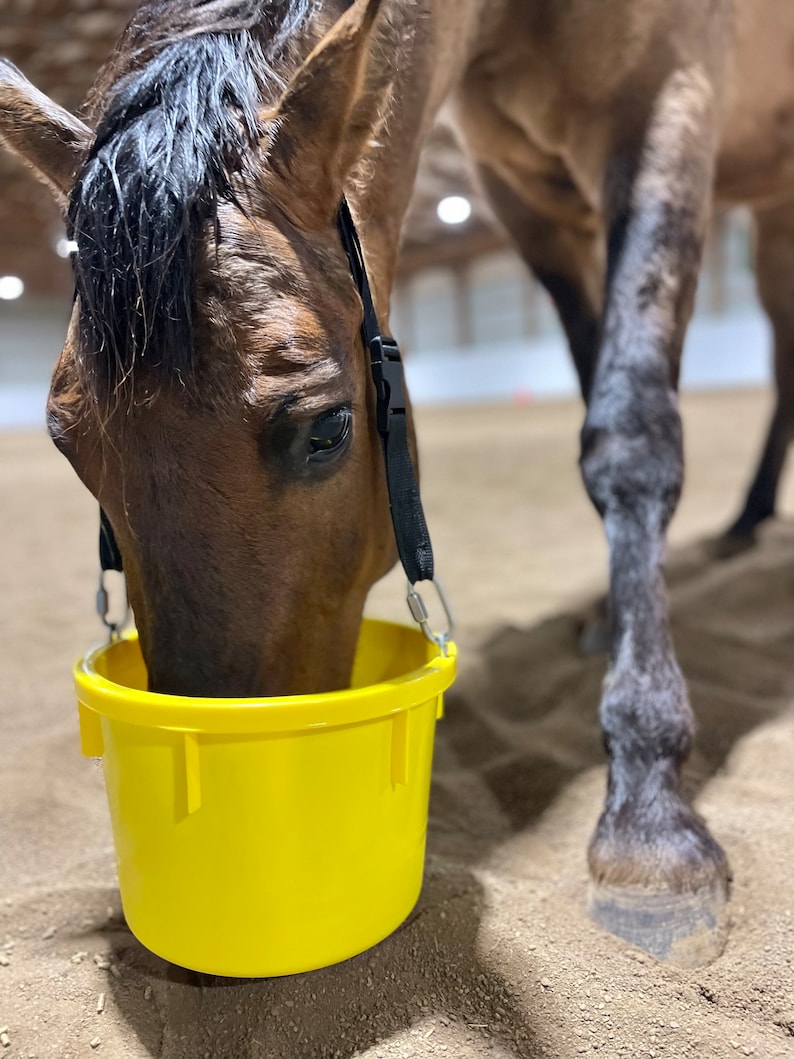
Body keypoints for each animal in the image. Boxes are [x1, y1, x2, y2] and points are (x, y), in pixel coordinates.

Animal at [2, 0, 793, 967]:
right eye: (67, 443)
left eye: (327, 429)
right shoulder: (526, 195)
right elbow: (593, 376)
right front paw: (611, 619)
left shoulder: (666, 107)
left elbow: (633, 429)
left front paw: (650, 821)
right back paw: (747, 518)